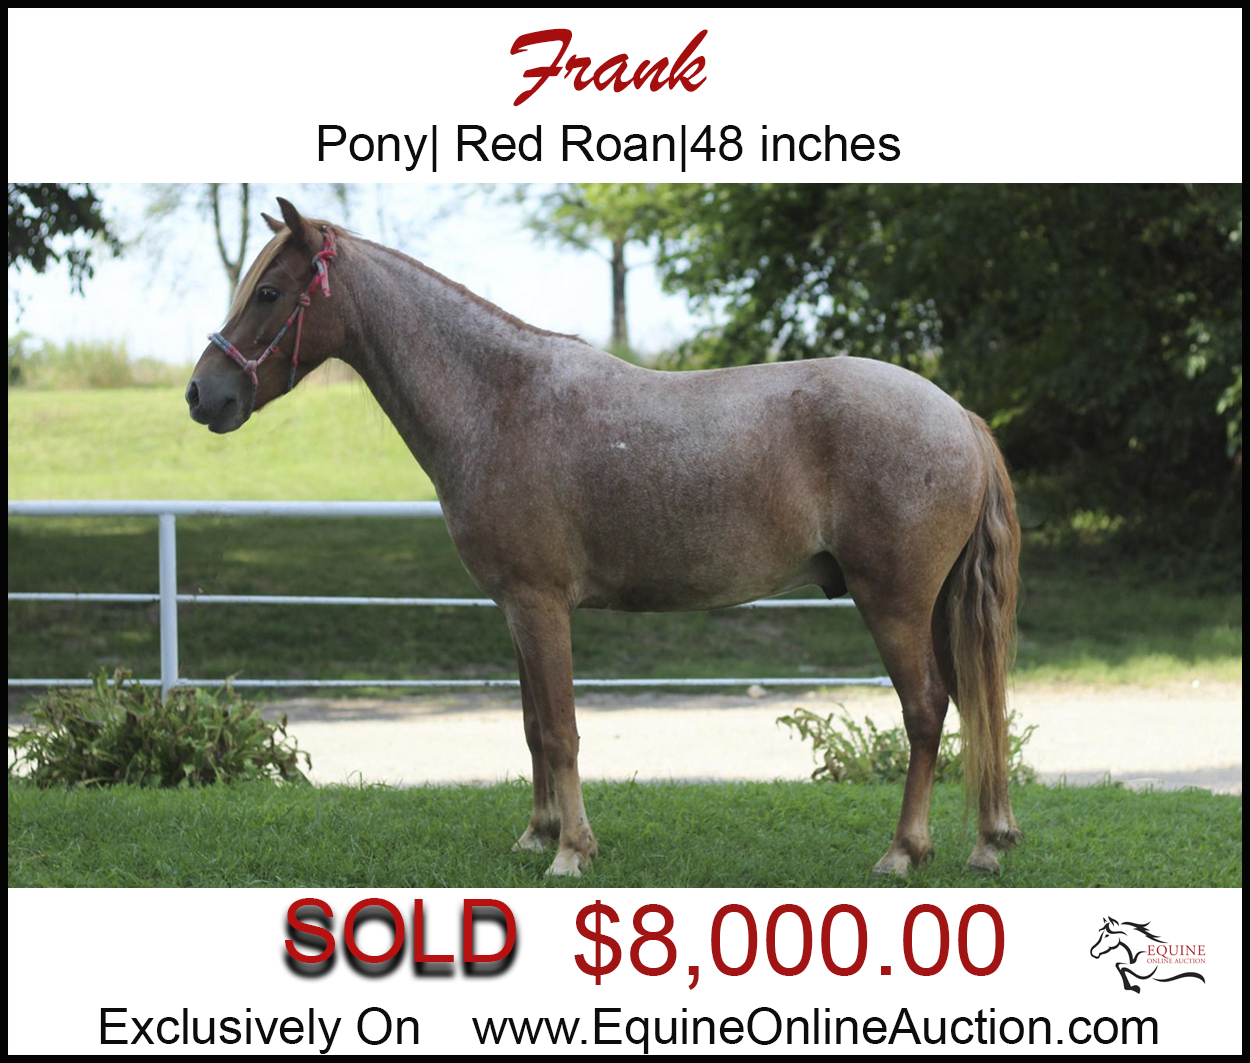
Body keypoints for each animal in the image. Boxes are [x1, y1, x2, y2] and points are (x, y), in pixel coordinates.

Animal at [185, 198, 1022, 878]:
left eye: (269, 291)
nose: (202, 394)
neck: (497, 400)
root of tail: (957, 415)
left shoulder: (540, 603)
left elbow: (560, 729)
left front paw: (570, 851)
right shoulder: (515, 609)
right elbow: (531, 725)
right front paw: (536, 835)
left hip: (895, 602)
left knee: (926, 709)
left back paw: (902, 851)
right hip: (933, 606)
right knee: (973, 701)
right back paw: (986, 842)